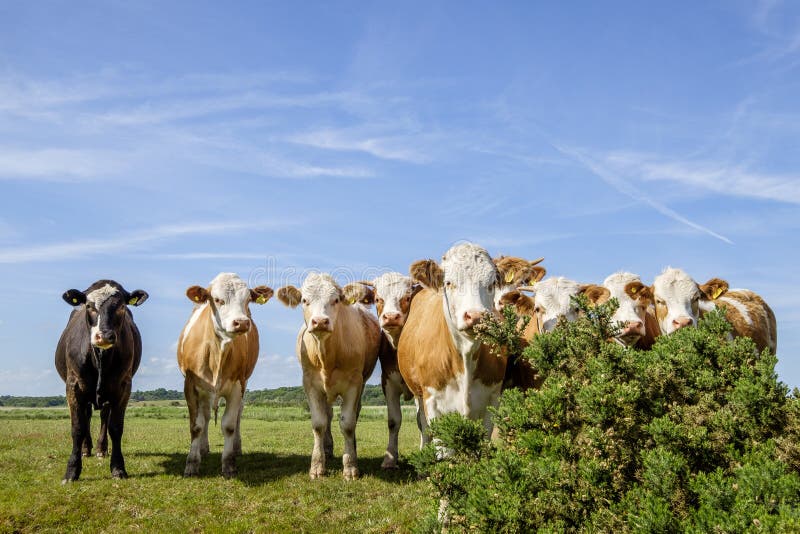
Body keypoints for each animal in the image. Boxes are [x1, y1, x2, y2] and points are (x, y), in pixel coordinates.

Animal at [55, 280, 148, 483]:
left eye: (121, 307)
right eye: (89, 306)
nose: (104, 335)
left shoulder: (123, 386)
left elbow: (115, 427)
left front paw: (118, 468)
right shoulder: (73, 385)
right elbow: (78, 427)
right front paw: (71, 471)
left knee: (104, 416)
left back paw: (100, 449)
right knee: (87, 416)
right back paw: (86, 449)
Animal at [177, 272, 273, 478]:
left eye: (248, 300)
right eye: (218, 300)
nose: (242, 322)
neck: (217, 353)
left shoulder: (237, 386)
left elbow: (229, 425)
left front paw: (229, 465)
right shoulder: (190, 386)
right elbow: (196, 426)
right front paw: (191, 464)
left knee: (238, 415)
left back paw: (236, 447)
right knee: (205, 415)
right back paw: (203, 449)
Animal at [276, 273, 381, 480]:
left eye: (336, 300)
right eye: (304, 300)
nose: (320, 321)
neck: (327, 356)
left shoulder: (354, 383)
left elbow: (348, 424)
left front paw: (350, 466)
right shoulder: (310, 383)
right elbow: (319, 423)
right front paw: (317, 466)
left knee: (353, 414)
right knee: (328, 415)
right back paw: (327, 448)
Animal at [349, 272, 422, 468]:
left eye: (407, 298)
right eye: (377, 299)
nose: (391, 317)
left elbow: (423, 421)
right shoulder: (388, 383)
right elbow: (393, 421)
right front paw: (390, 460)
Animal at [398, 242, 507, 443]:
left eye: (492, 283)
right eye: (448, 283)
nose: (476, 316)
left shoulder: (492, 398)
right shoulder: (433, 401)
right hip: (418, 396)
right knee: (424, 428)